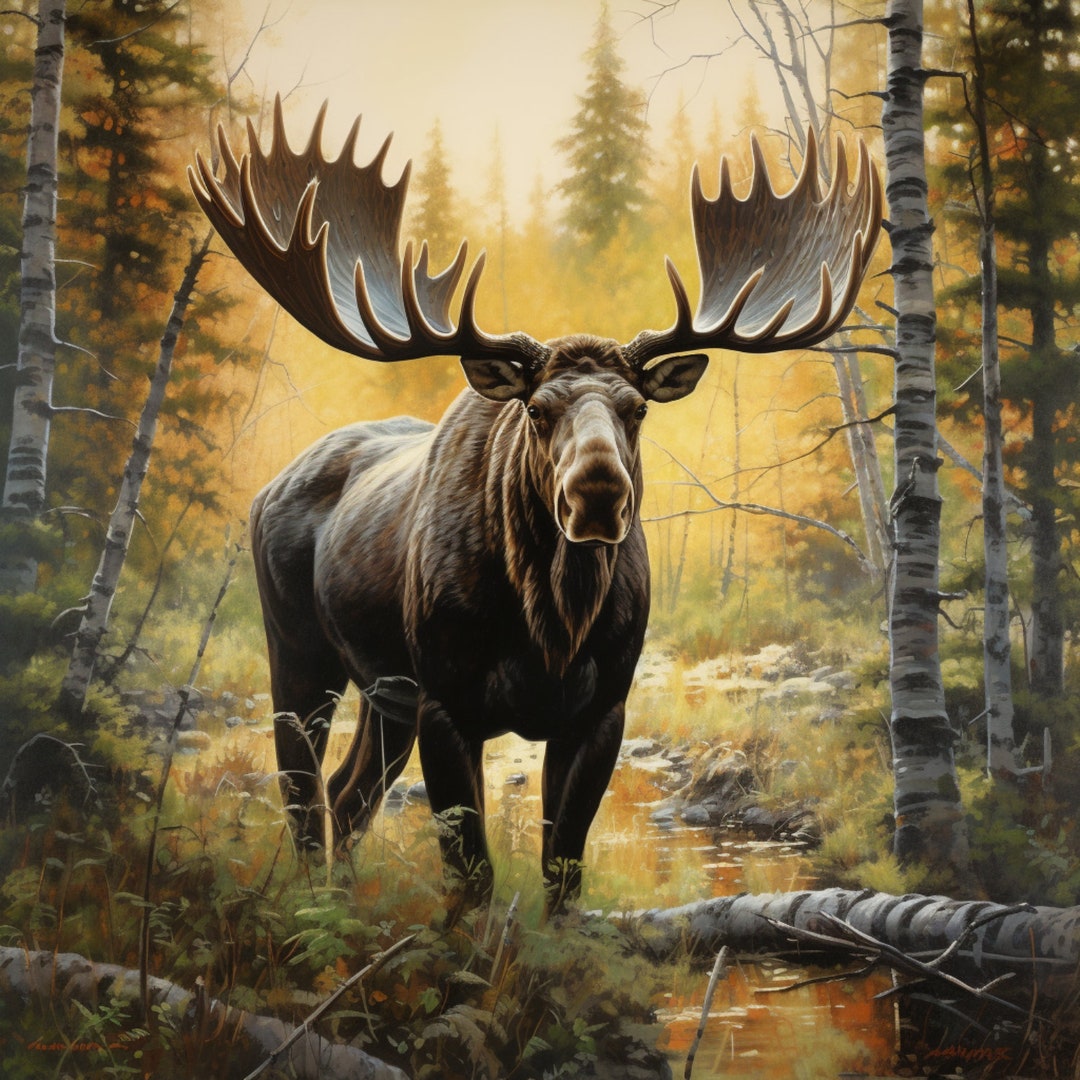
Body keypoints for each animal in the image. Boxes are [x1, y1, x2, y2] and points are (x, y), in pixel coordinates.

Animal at [189, 100, 881, 911]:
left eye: (637, 408)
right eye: (539, 409)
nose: (598, 493)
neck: (552, 621)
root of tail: (268, 488)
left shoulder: (601, 708)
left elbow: (563, 868)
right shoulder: (446, 702)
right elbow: (473, 876)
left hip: (383, 691)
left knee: (347, 792)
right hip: (299, 649)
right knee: (301, 790)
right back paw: (315, 905)